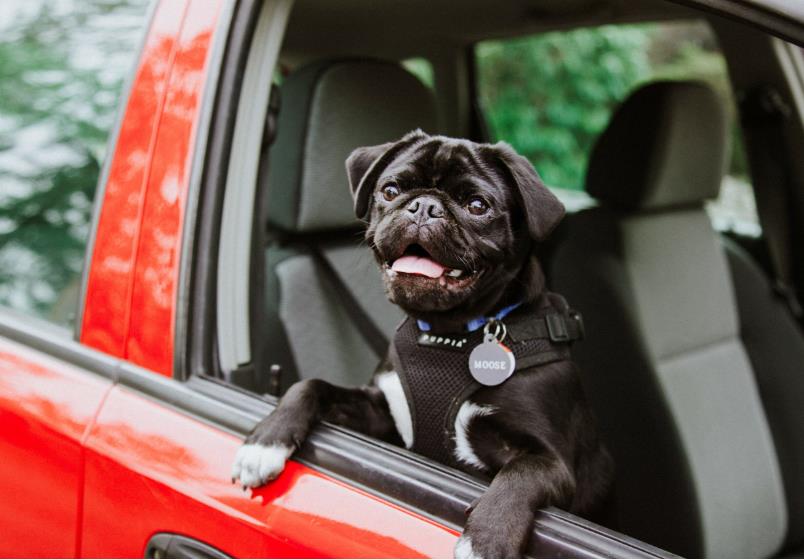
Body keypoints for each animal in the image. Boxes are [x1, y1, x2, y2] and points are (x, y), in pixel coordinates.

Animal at [232, 130, 616, 556]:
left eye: (477, 205)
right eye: (391, 190)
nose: (424, 206)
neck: (449, 333)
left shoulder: (552, 461)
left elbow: (521, 473)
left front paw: (486, 539)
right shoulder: (381, 414)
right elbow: (310, 386)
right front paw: (266, 440)